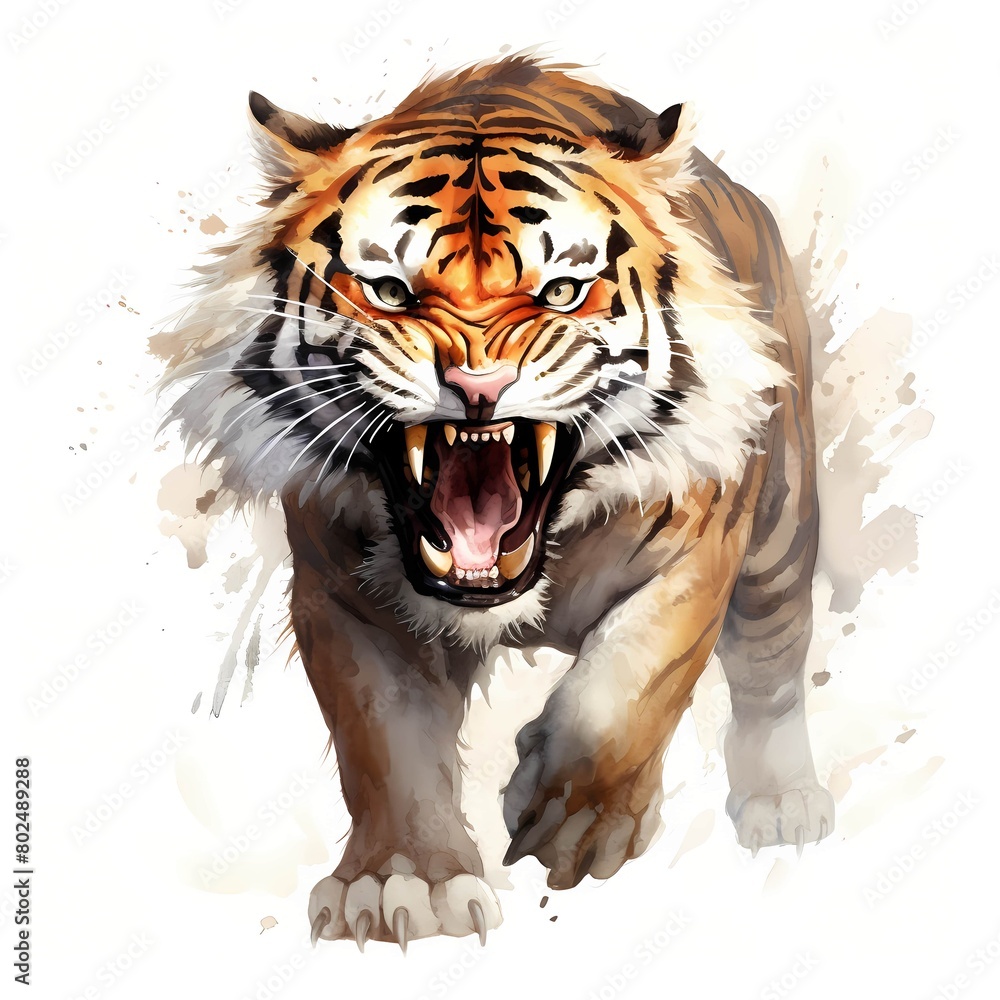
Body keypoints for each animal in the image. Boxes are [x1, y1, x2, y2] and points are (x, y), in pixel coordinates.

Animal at [158, 54, 834, 950]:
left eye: (561, 292)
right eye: (389, 290)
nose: (479, 386)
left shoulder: (699, 551)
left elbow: (631, 688)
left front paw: (573, 818)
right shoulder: (346, 599)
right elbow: (388, 745)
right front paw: (402, 882)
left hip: (782, 531)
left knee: (772, 663)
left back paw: (782, 802)